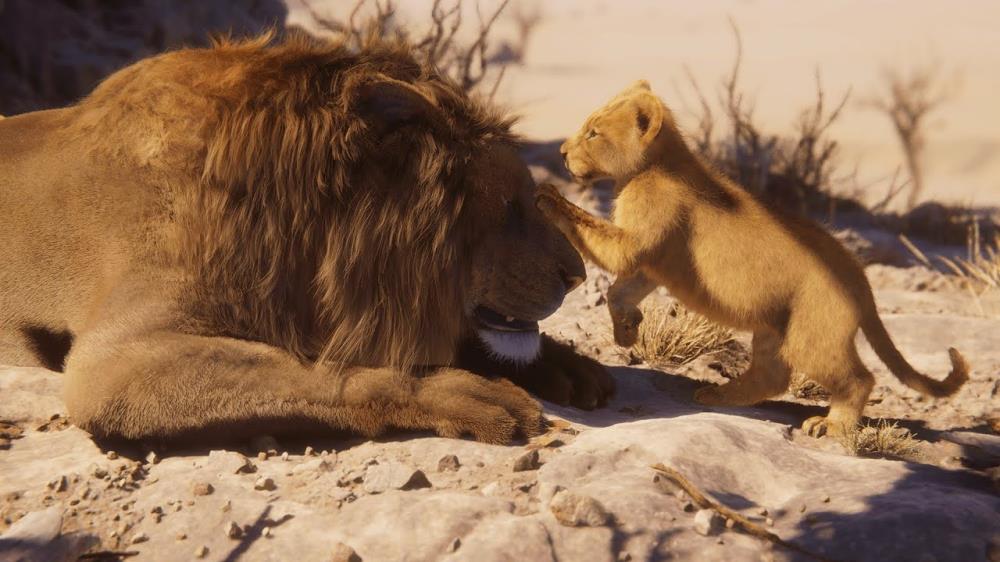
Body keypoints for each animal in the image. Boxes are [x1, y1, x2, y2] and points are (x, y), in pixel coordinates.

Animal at [0, 33, 614, 446]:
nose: (577, 276)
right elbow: (314, 371)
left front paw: (568, 366)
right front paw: (471, 393)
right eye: (509, 206)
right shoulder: (109, 364)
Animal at [535, 80, 967, 437]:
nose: (560, 152)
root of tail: (861, 279)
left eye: (593, 132)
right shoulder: (654, 260)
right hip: (775, 328)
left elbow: (594, 235)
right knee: (771, 376)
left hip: (812, 335)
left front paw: (548, 197)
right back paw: (718, 395)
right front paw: (627, 330)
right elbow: (619, 292)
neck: (653, 166)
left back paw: (831, 425)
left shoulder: (637, 239)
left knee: (858, 379)